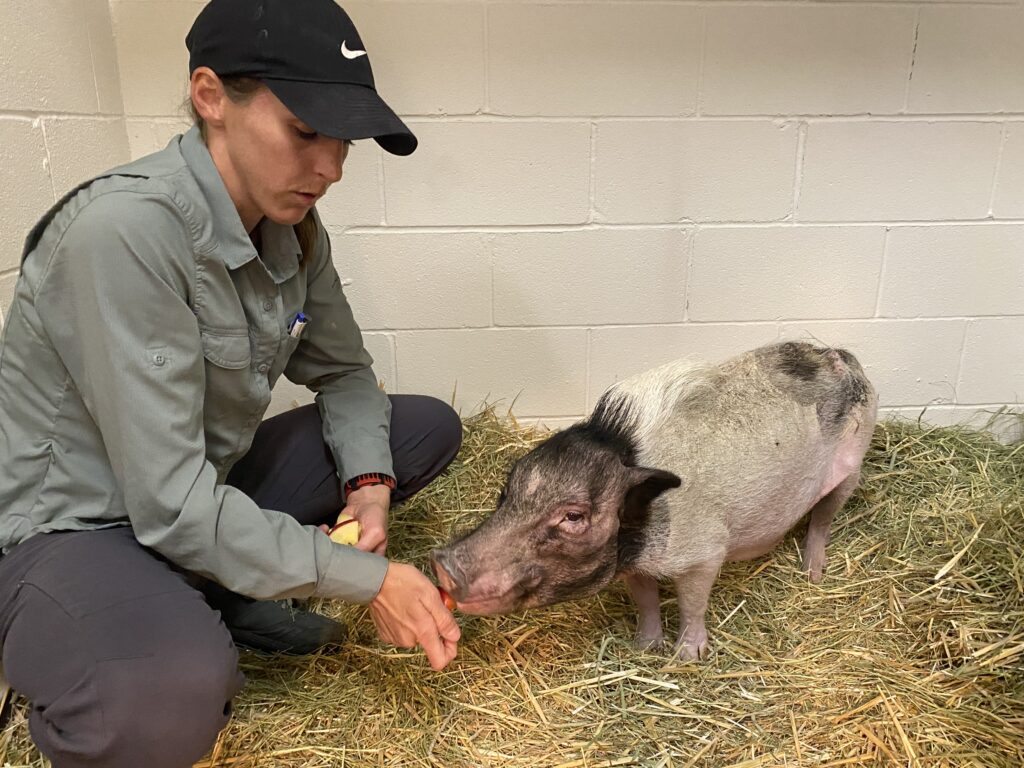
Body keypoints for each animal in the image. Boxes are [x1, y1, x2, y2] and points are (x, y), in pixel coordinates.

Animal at [432, 342, 878, 660]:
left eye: (573, 516)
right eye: (506, 492)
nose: (444, 563)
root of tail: (838, 356)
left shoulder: (705, 552)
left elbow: (692, 604)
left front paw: (687, 657)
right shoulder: (633, 565)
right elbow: (646, 600)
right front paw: (644, 647)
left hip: (853, 463)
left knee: (823, 519)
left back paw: (813, 574)